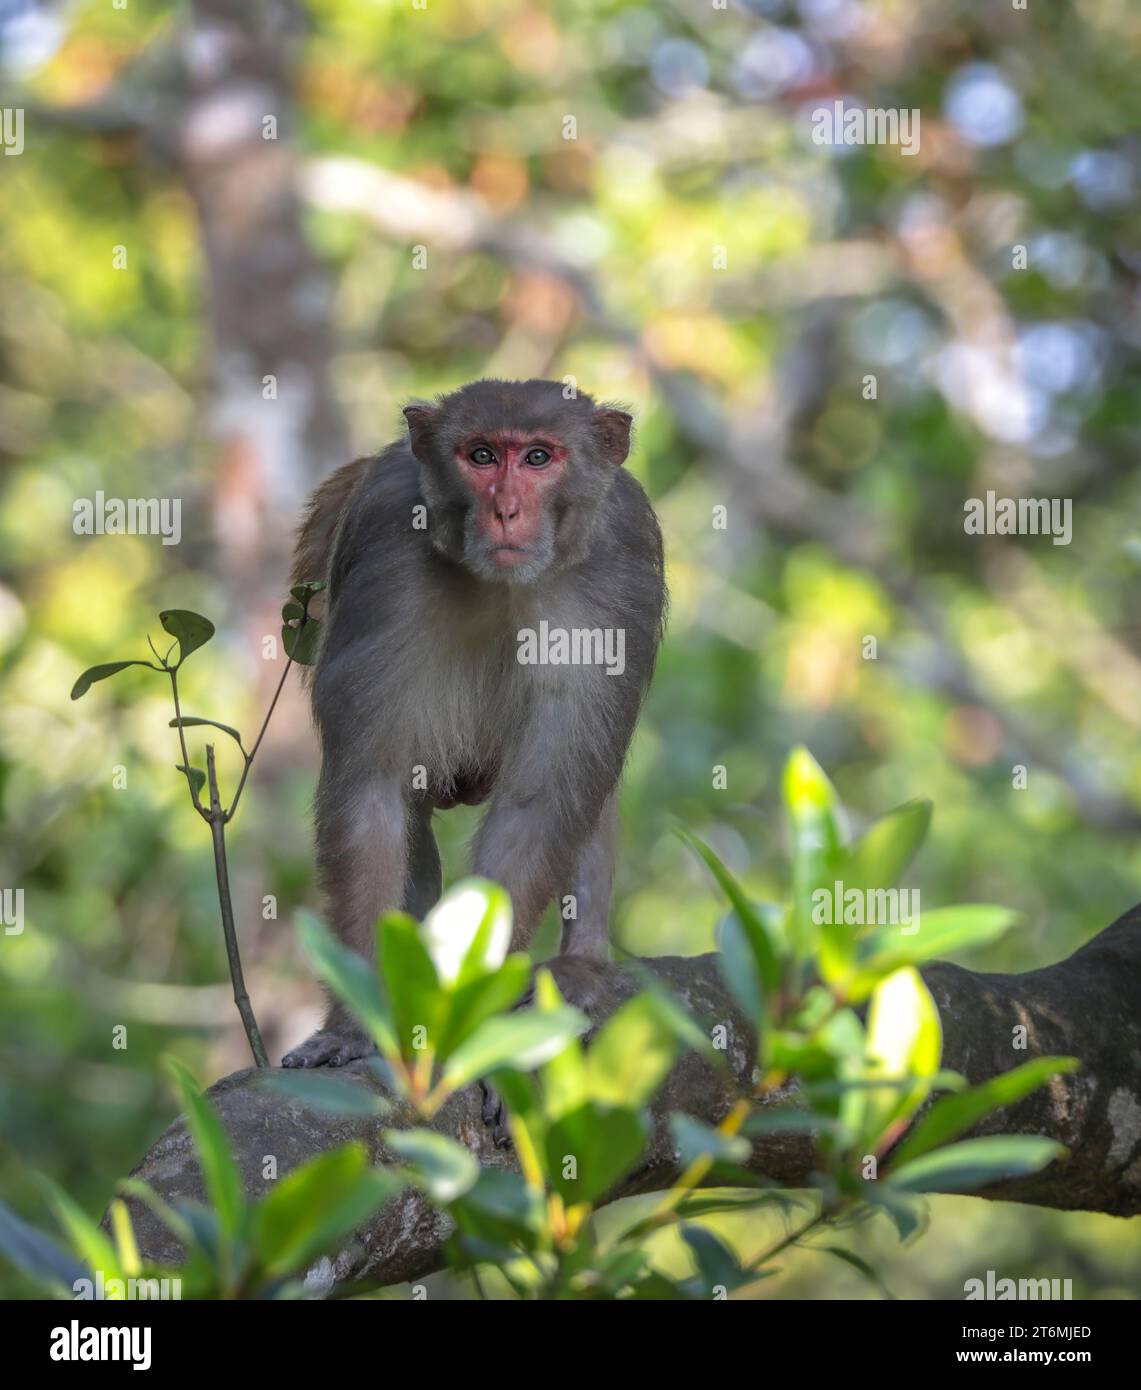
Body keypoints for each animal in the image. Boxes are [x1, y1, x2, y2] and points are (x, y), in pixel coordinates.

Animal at [281, 379, 666, 1080]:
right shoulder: (385, 544)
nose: (506, 510)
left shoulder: (618, 573)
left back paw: (581, 965)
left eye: (538, 457)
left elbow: (540, 803)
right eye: (481, 455)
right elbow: (373, 788)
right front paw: (357, 1021)